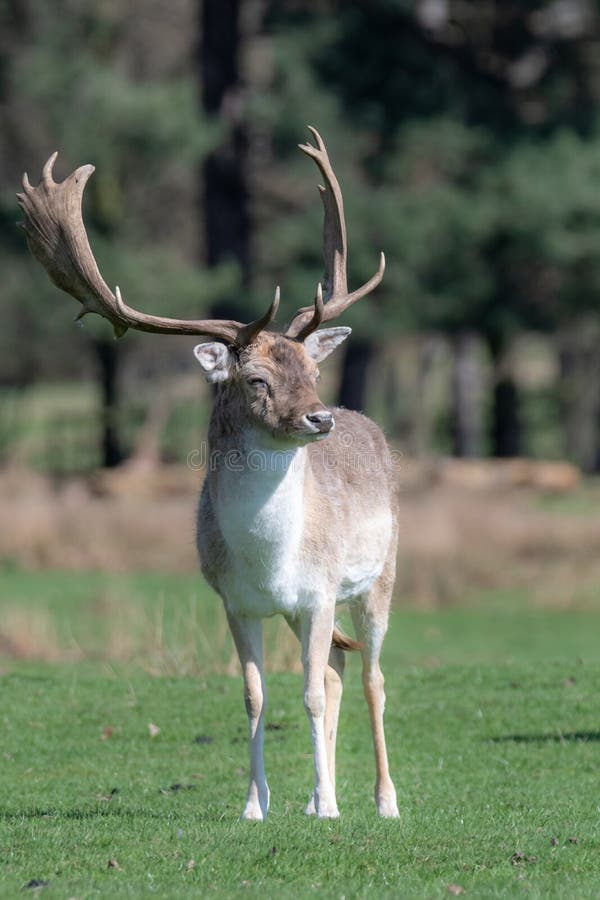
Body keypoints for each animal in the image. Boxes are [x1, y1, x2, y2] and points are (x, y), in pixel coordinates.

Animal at [17, 127, 399, 820]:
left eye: (314, 369)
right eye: (256, 380)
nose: (320, 417)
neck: (269, 557)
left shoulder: (321, 590)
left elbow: (306, 692)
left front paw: (333, 807)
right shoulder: (234, 601)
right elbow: (256, 696)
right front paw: (257, 806)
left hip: (378, 578)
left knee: (371, 675)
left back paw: (383, 801)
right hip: (305, 610)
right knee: (336, 671)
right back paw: (313, 799)